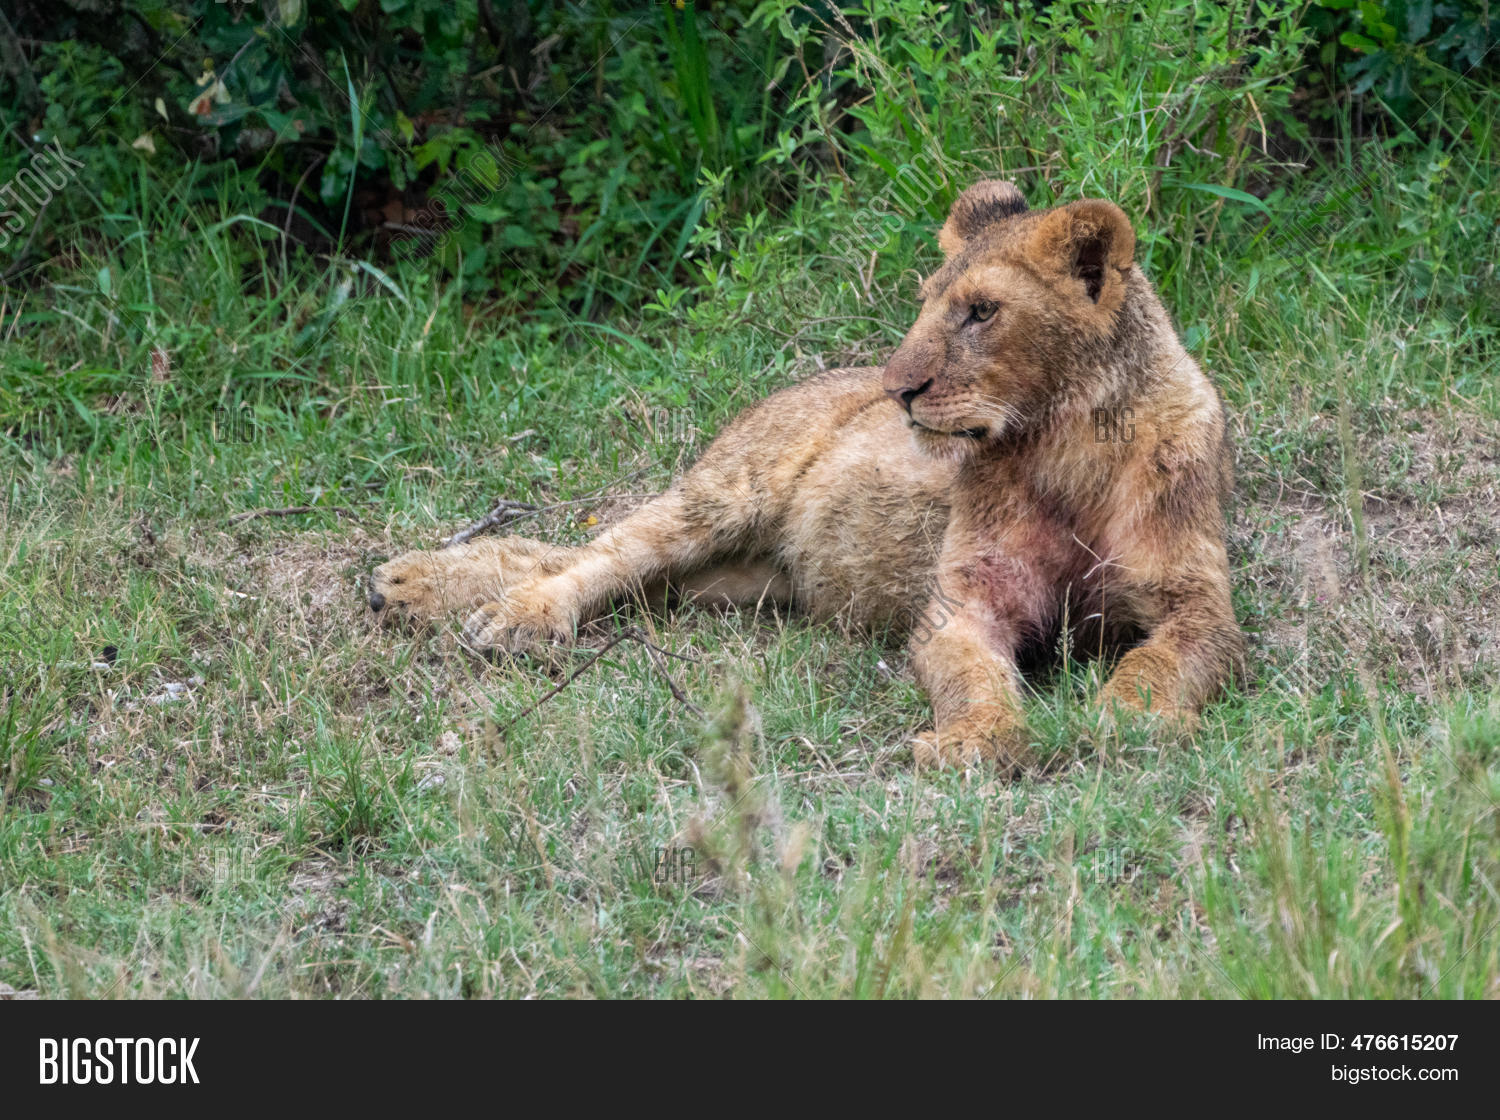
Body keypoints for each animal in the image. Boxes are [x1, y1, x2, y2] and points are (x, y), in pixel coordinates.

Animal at [368, 180, 1245, 769]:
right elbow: (972, 678)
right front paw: (975, 740)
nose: (897, 389)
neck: (1062, 447)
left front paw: (1130, 721)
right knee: (598, 556)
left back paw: (417, 588)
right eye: (927, 302)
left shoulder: (1198, 605)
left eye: (982, 312)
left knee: (609, 569)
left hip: (733, 580)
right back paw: (498, 612)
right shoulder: (961, 605)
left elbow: (1157, 662)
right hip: (724, 495)